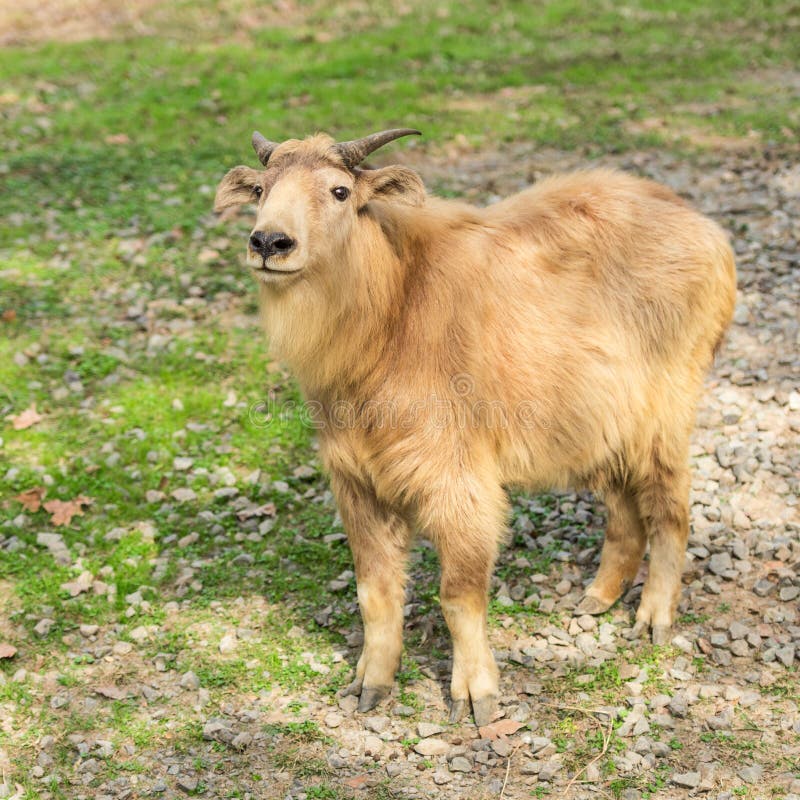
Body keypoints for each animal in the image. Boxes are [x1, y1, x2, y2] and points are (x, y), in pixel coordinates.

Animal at [214, 129, 737, 725]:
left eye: (340, 190)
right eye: (261, 189)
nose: (269, 242)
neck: (390, 311)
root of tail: (704, 227)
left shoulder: (459, 483)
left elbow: (459, 595)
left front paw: (475, 695)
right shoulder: (356, 482)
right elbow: (375, 593)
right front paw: (371, 684)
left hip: (664, 416)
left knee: (670, 510)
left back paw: (653, 618)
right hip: (603, 428)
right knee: (624, 509)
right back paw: (597, 598)